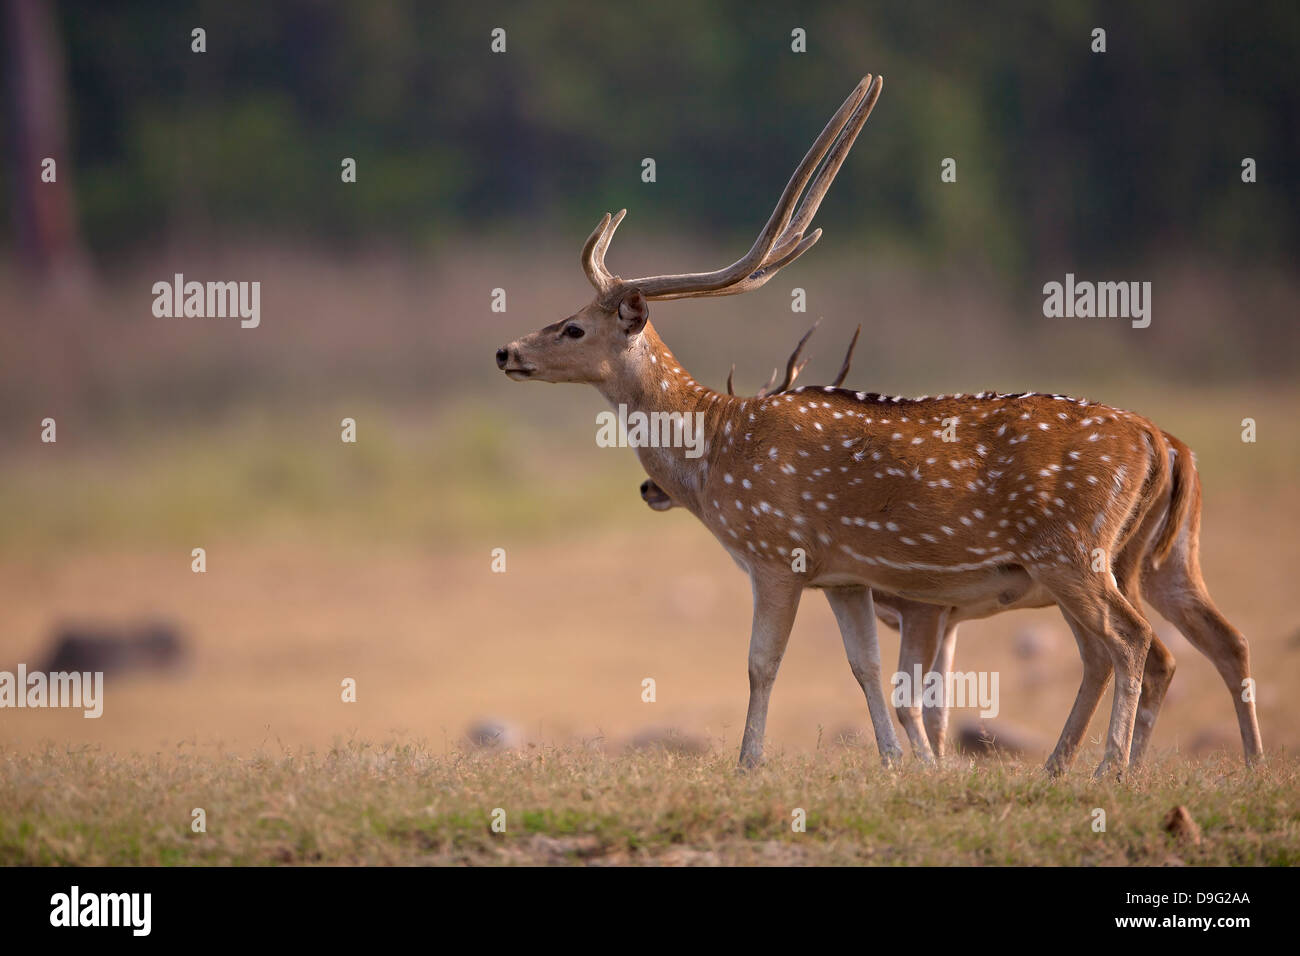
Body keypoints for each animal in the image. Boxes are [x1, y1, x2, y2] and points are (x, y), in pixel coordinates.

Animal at [496, 74, 1190, 779]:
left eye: (573, 328)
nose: (506, 352)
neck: (717, 449)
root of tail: (1153, 441)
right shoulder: (846, 575)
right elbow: (865, 667)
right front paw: (893, 762)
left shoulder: (777, 553)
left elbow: (761, 663)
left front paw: (749, 763)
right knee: (1121, 648)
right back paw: (1078, 767)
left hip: (1072, 547)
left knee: (1132, 640)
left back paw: (1109, 768)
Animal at [640, 326, 1263, 768]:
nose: (649, 488)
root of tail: (1169, 445)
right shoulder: (944, 614)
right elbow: (930, 702)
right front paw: (932, 765)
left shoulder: (927, 604)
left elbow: (914, 699)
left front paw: (929, 768)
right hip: (1164, 561)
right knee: (1213, 641)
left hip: (1093, 560)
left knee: (1138, 645)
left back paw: (1112, 768)